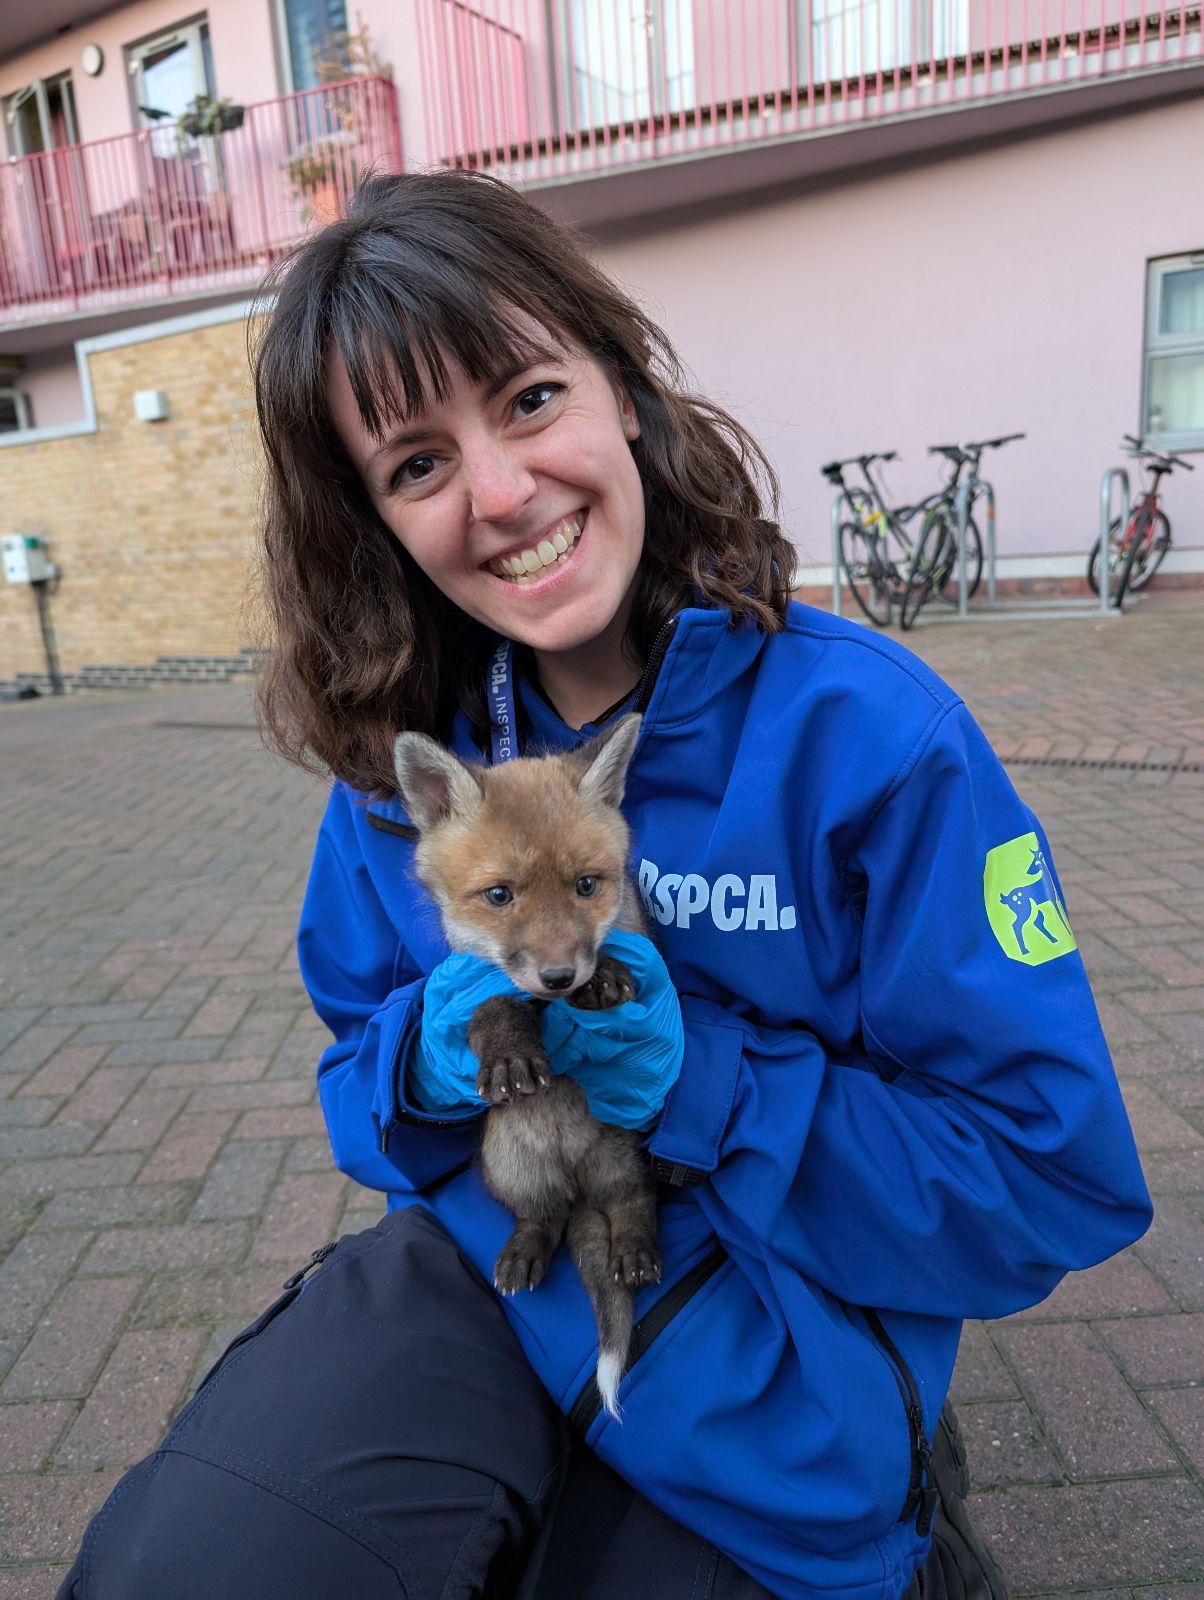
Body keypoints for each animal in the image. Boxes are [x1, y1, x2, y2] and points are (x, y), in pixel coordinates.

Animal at [392, 713, 661, 1419]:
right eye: (499, 895)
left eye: (586, 886)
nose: (561, 977)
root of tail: (573, 1176)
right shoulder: (464, 979)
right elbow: (488, 1005)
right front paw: (509, 1049)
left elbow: (626, 952)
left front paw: (606, 977)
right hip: (513, 1163)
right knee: (544, 1219)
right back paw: (523, 1253)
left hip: (623, 1156)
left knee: (634, 1204)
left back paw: (634, 1250)